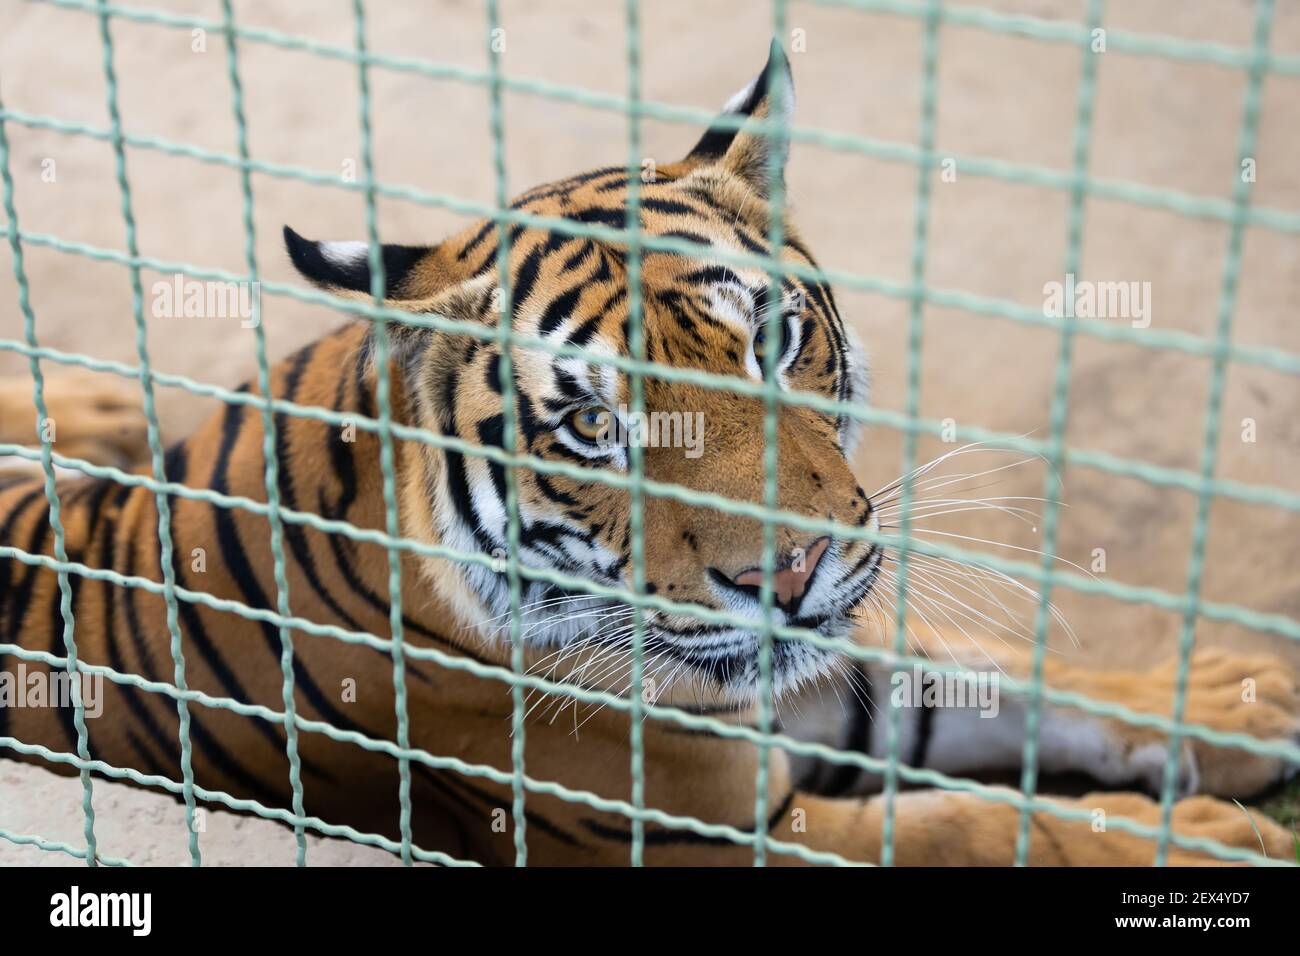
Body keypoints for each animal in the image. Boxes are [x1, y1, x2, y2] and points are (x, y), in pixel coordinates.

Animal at [1, 46, 1297, 866]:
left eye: (773, 340)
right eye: (592, 426)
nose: (788, 574)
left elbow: (999, 675)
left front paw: (1239, 695)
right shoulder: (700, 838)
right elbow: (972, 825)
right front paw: (1209, 840)